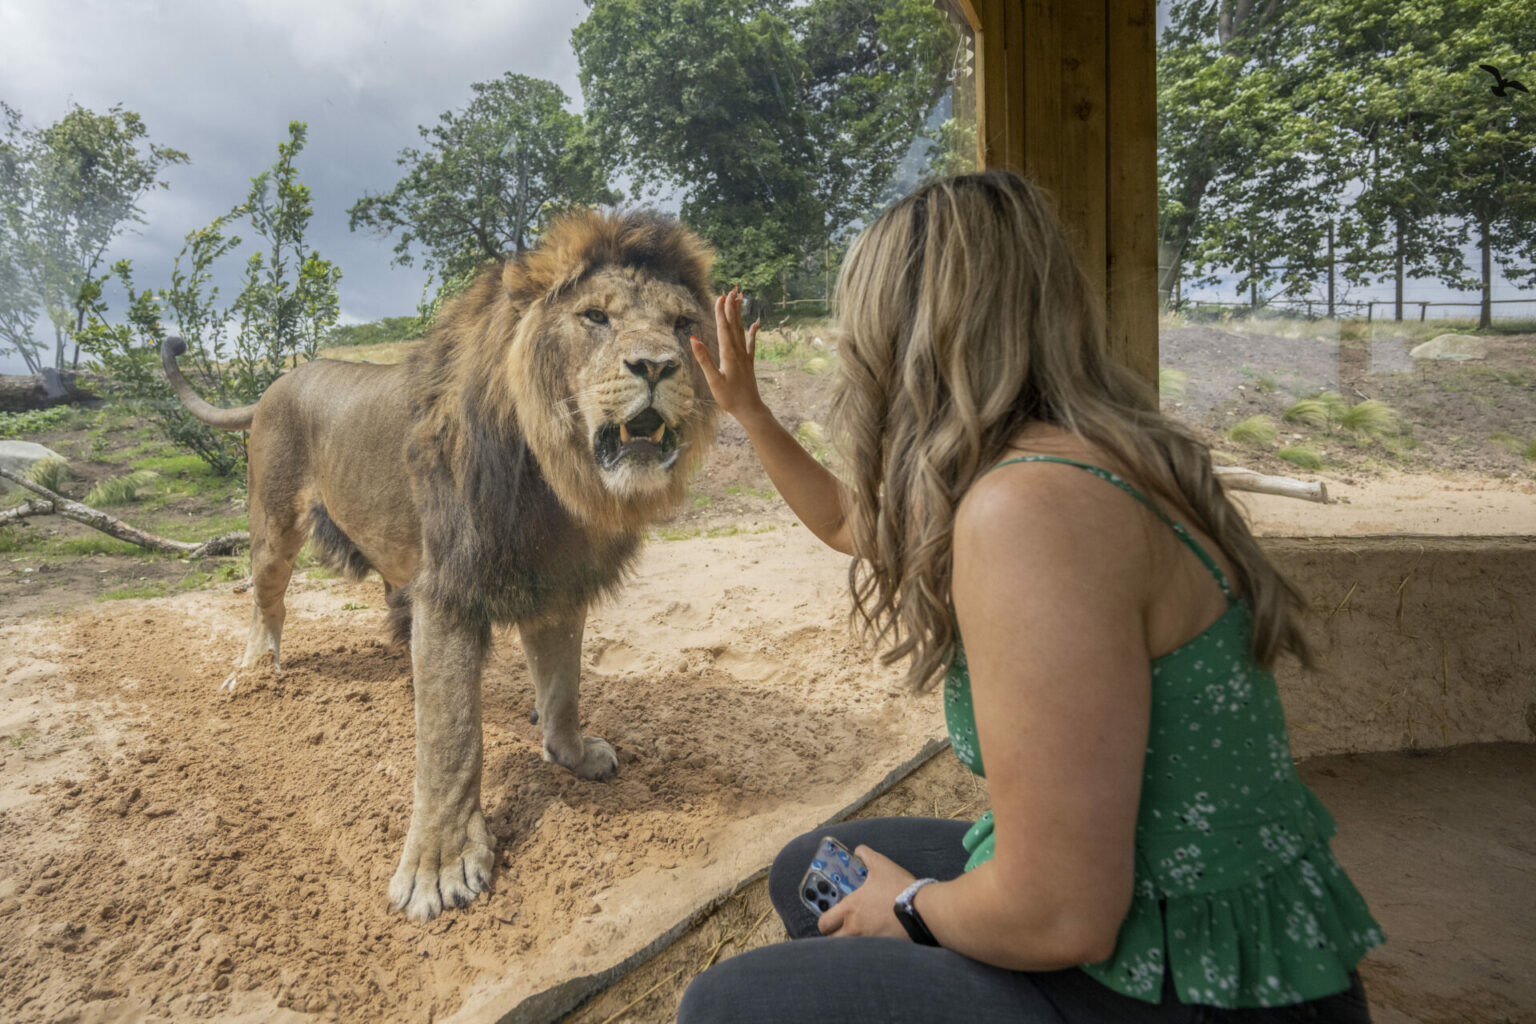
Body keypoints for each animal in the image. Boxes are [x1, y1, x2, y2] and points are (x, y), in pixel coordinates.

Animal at [161, 210, 719, 920]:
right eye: (595, 317)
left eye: (683, 324)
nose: (658, 365)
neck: (557, 482)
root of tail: (272, 384)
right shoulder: (451, 591)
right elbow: (452, 737)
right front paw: (440, 867)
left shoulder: (558, 585)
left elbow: (563, 687)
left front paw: (569, 753)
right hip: (273, 523)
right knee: (267, 600)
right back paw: (257, 673)